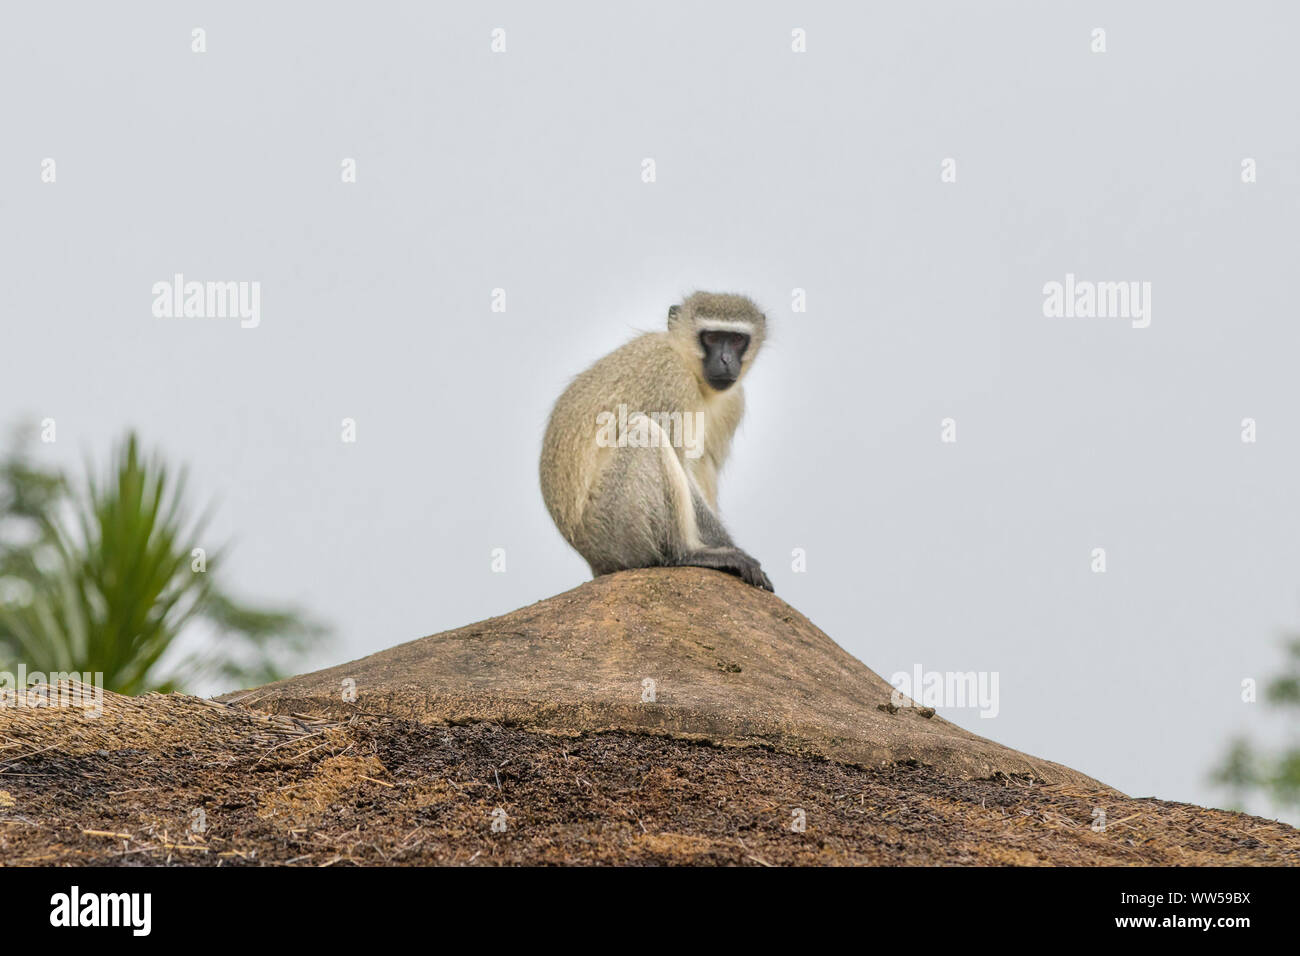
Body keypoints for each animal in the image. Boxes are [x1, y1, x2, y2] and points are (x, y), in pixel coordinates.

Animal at [540, 291, 773, 591]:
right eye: (711, 338)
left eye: (735, 340)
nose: (725, 359)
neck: (693, 373)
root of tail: (594, 562)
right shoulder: (670, 379)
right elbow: (681, 464)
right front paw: (731, 548)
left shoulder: (734, 401)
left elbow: (701, 467)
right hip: (608, 530)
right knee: (645, 434)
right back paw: (684, 553)